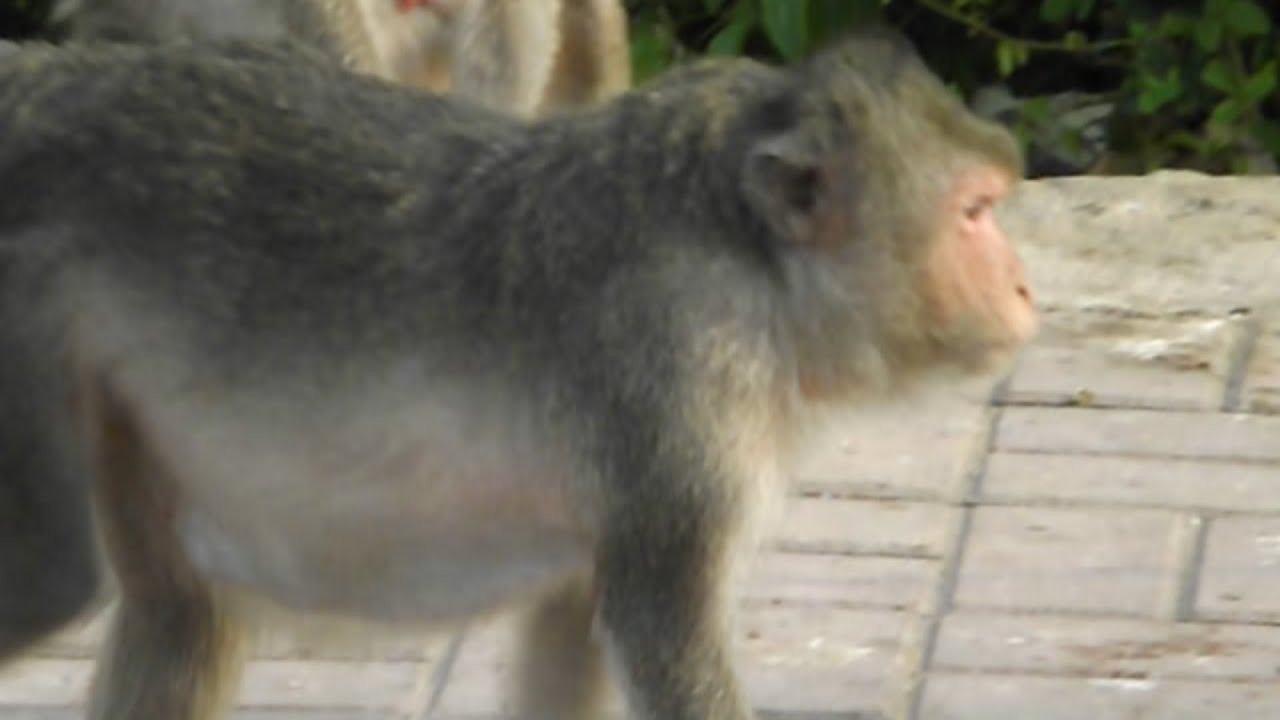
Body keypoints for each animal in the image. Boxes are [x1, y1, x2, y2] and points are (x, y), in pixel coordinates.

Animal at [0, 28, 1033, 719]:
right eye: (975, 213)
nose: (1023, 288)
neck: (750, 264)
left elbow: (573, 636)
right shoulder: (678, 390)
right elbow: (662, 633)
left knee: (180, 612)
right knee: (54, 586)